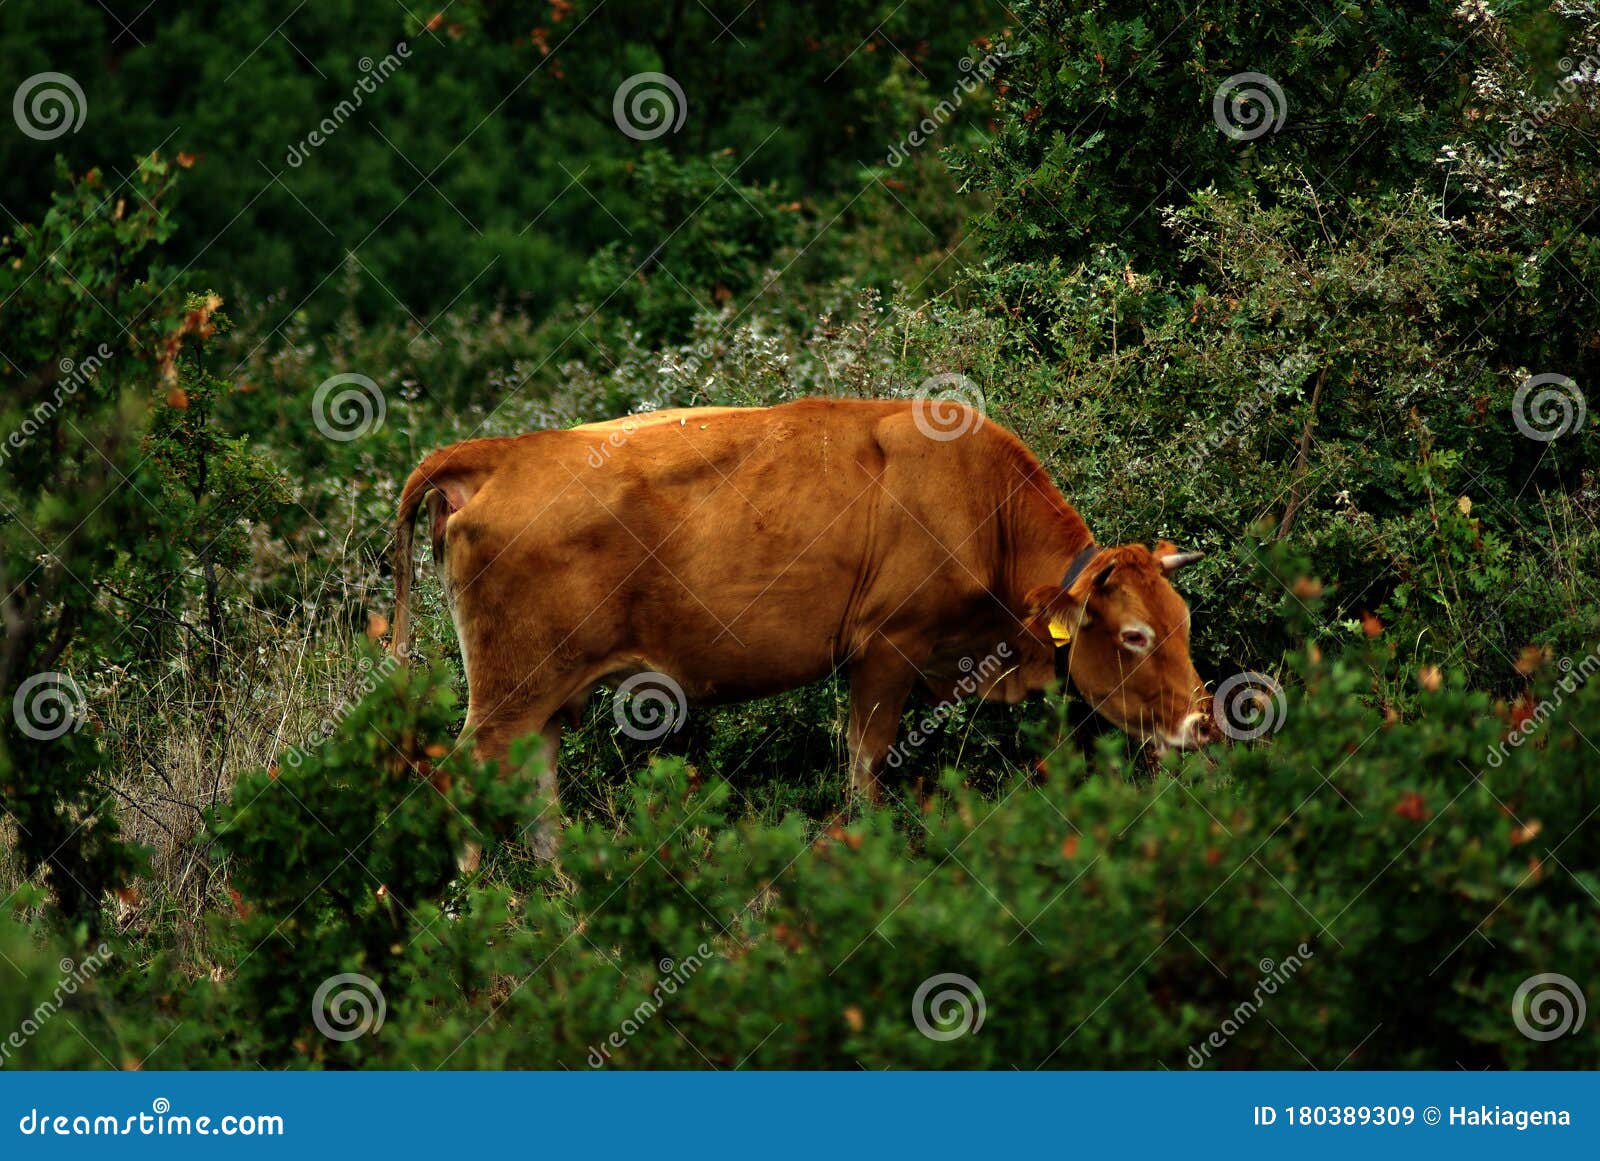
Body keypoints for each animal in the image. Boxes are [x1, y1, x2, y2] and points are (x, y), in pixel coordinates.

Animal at [389, 398, 1213, 828]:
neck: (980, 504)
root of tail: (502, 453)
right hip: (508, 696)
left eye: (1185, 623)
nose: (1204, 722)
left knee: (538, 802)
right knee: (456, 783)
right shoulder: (886, 650)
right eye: (1135, 635)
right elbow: (866, 765)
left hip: (544, 702)